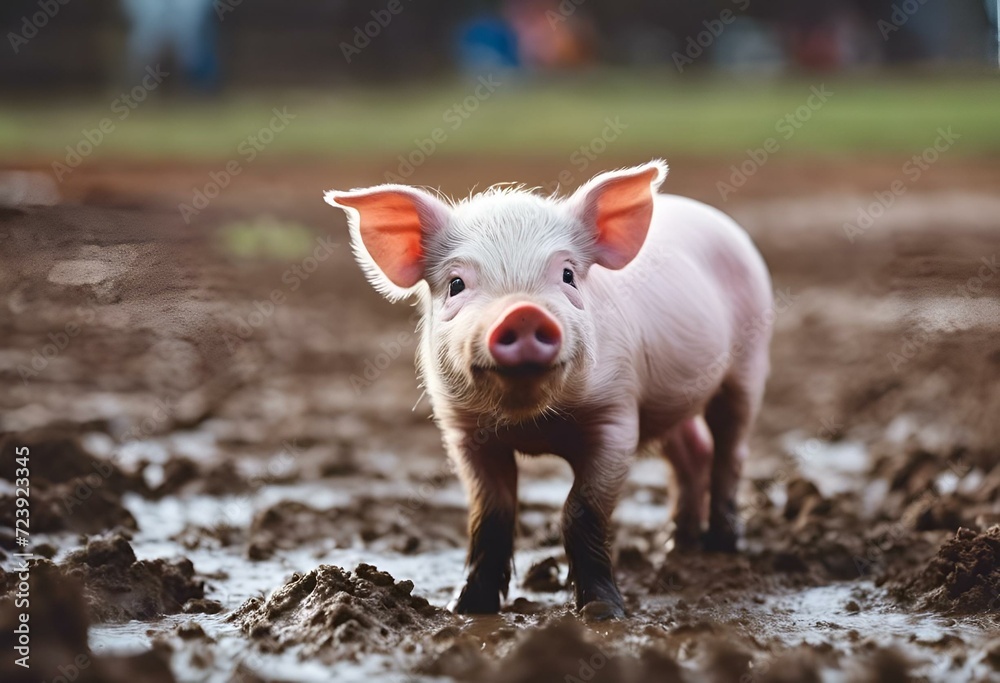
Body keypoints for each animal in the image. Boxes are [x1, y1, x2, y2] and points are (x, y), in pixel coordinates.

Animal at [325, 160, 773, 619]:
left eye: (568, 275)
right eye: (455, 284)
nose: (522, 312)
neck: (534, 425)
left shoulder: (616, 417)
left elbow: (580, 511)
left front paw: (602, 611)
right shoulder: (463, 431)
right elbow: (491, 514)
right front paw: (465, 608)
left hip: (750, 361)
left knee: (731, 449)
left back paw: (721, 545)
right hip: (669, 399)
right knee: (692, 450)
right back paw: (676, 544)